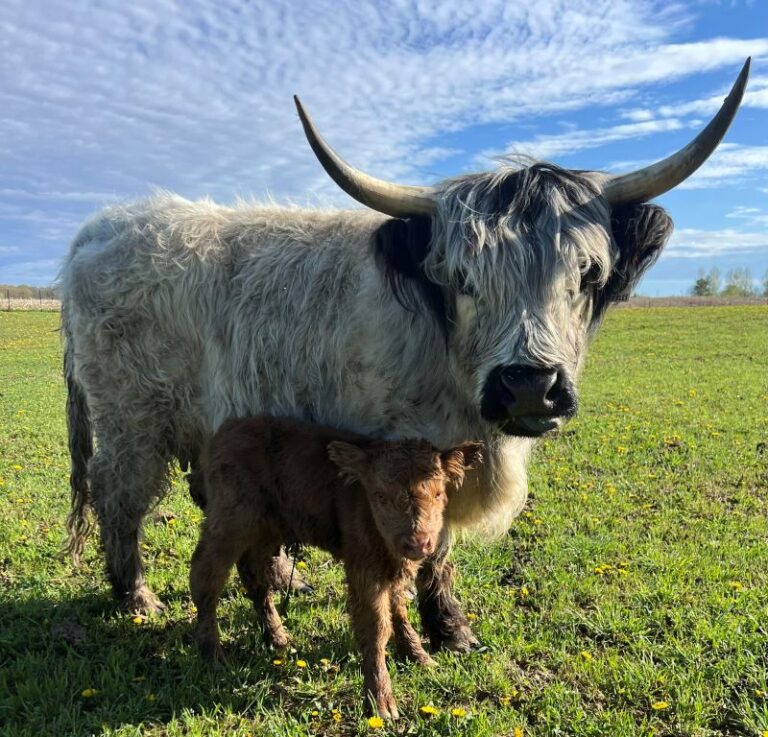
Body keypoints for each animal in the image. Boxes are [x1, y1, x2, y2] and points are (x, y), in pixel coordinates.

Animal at [61, 60, 749, 651]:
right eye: (462, 277)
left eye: (586, 273)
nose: (529, 385)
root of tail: (102, 229)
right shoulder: (415, 449)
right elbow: (434, 540)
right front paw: (449, 628)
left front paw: (448, 626)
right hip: (132, 421)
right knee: (117, 492)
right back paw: (136, 595)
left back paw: (283, 577)